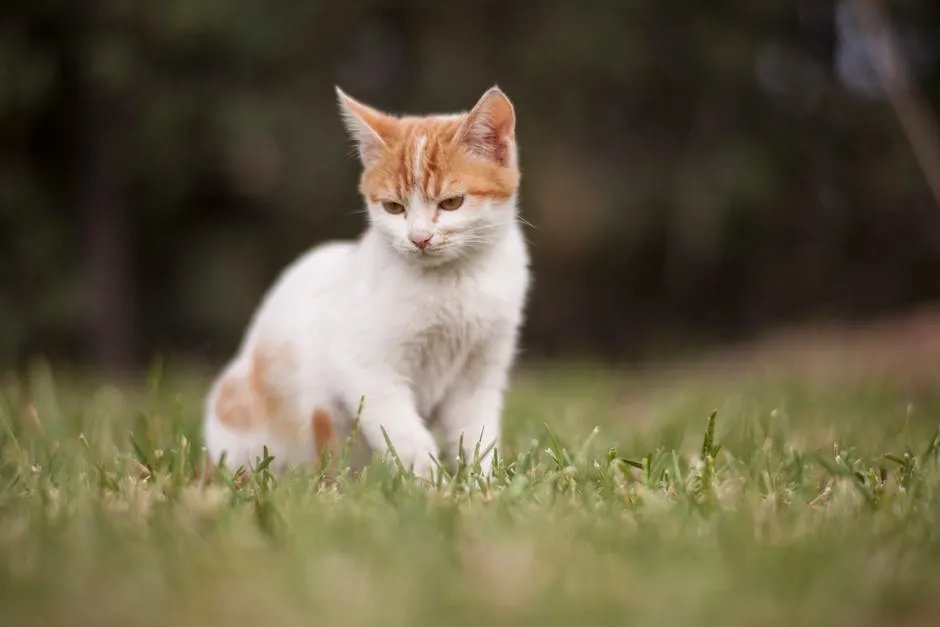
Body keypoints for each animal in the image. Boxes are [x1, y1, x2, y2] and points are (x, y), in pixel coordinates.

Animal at [201, 84, 528, 480]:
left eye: (451, 202)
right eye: (394, 207)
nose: (419, 238)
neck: (454, 280)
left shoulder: (480, 374)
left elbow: (477, 434)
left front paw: (481, 482)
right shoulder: (363, 369)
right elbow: (405, 434)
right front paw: (429, 481)